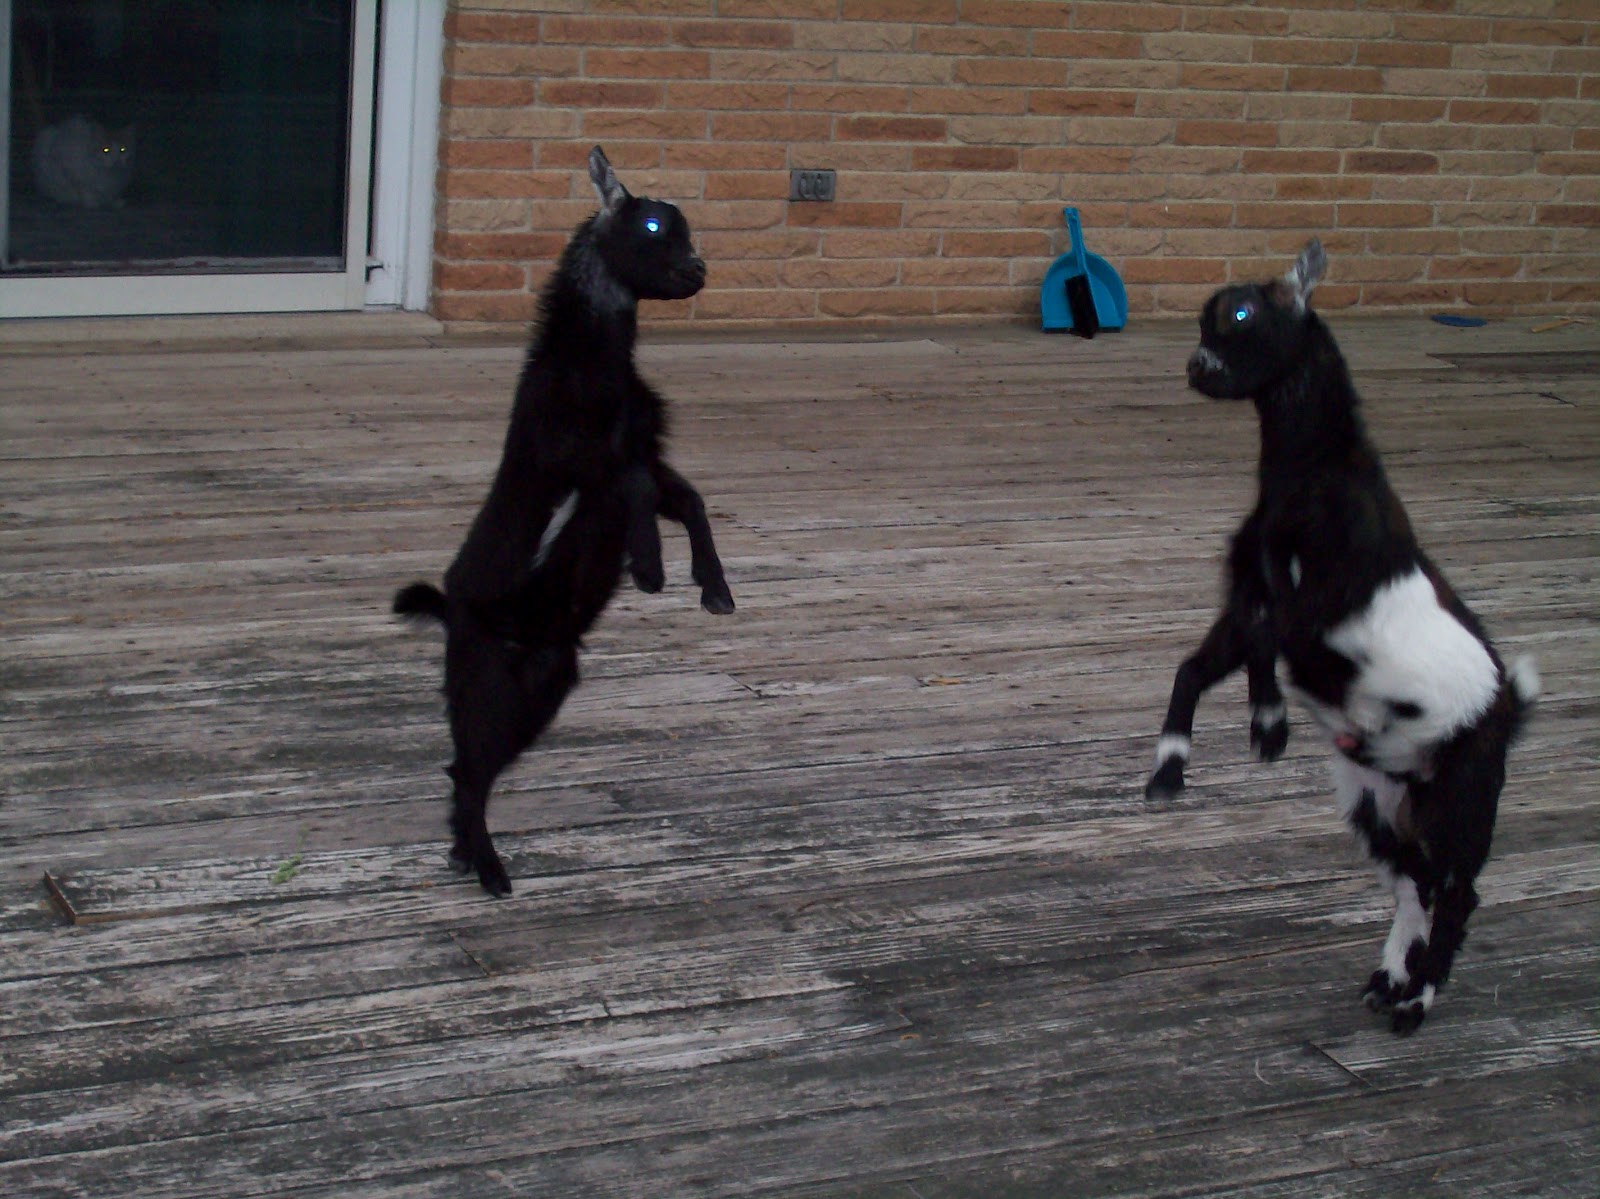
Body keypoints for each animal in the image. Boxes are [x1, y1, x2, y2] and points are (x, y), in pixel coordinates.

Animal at [394, 146, 734, 897]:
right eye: (651, 223)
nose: (699, 271)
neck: (585, 364)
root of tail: (450, 611)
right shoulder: (584, 464)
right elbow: (637, 490)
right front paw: (649, 569)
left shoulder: (644, 453)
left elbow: (688, 498)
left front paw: (714, 589)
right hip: (488, 682)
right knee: (468, 768)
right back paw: (490, 869)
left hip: (545, 678)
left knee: (468, 766)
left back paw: (464, 853)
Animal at [1144, 240, 1538, 1032]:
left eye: (1242, 313)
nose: (1197, 370)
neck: (1319, 476)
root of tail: (1507, 708)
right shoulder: (1254, 595)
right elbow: (1197, 666)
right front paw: (1179, 763)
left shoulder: (1310, 612)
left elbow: (1250, 654)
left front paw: (1264, 726)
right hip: (1378, 798)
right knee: (1415, 882)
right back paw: (1391, 979)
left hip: (1462, 802)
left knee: (1458, 893)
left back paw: (1416, 1001)